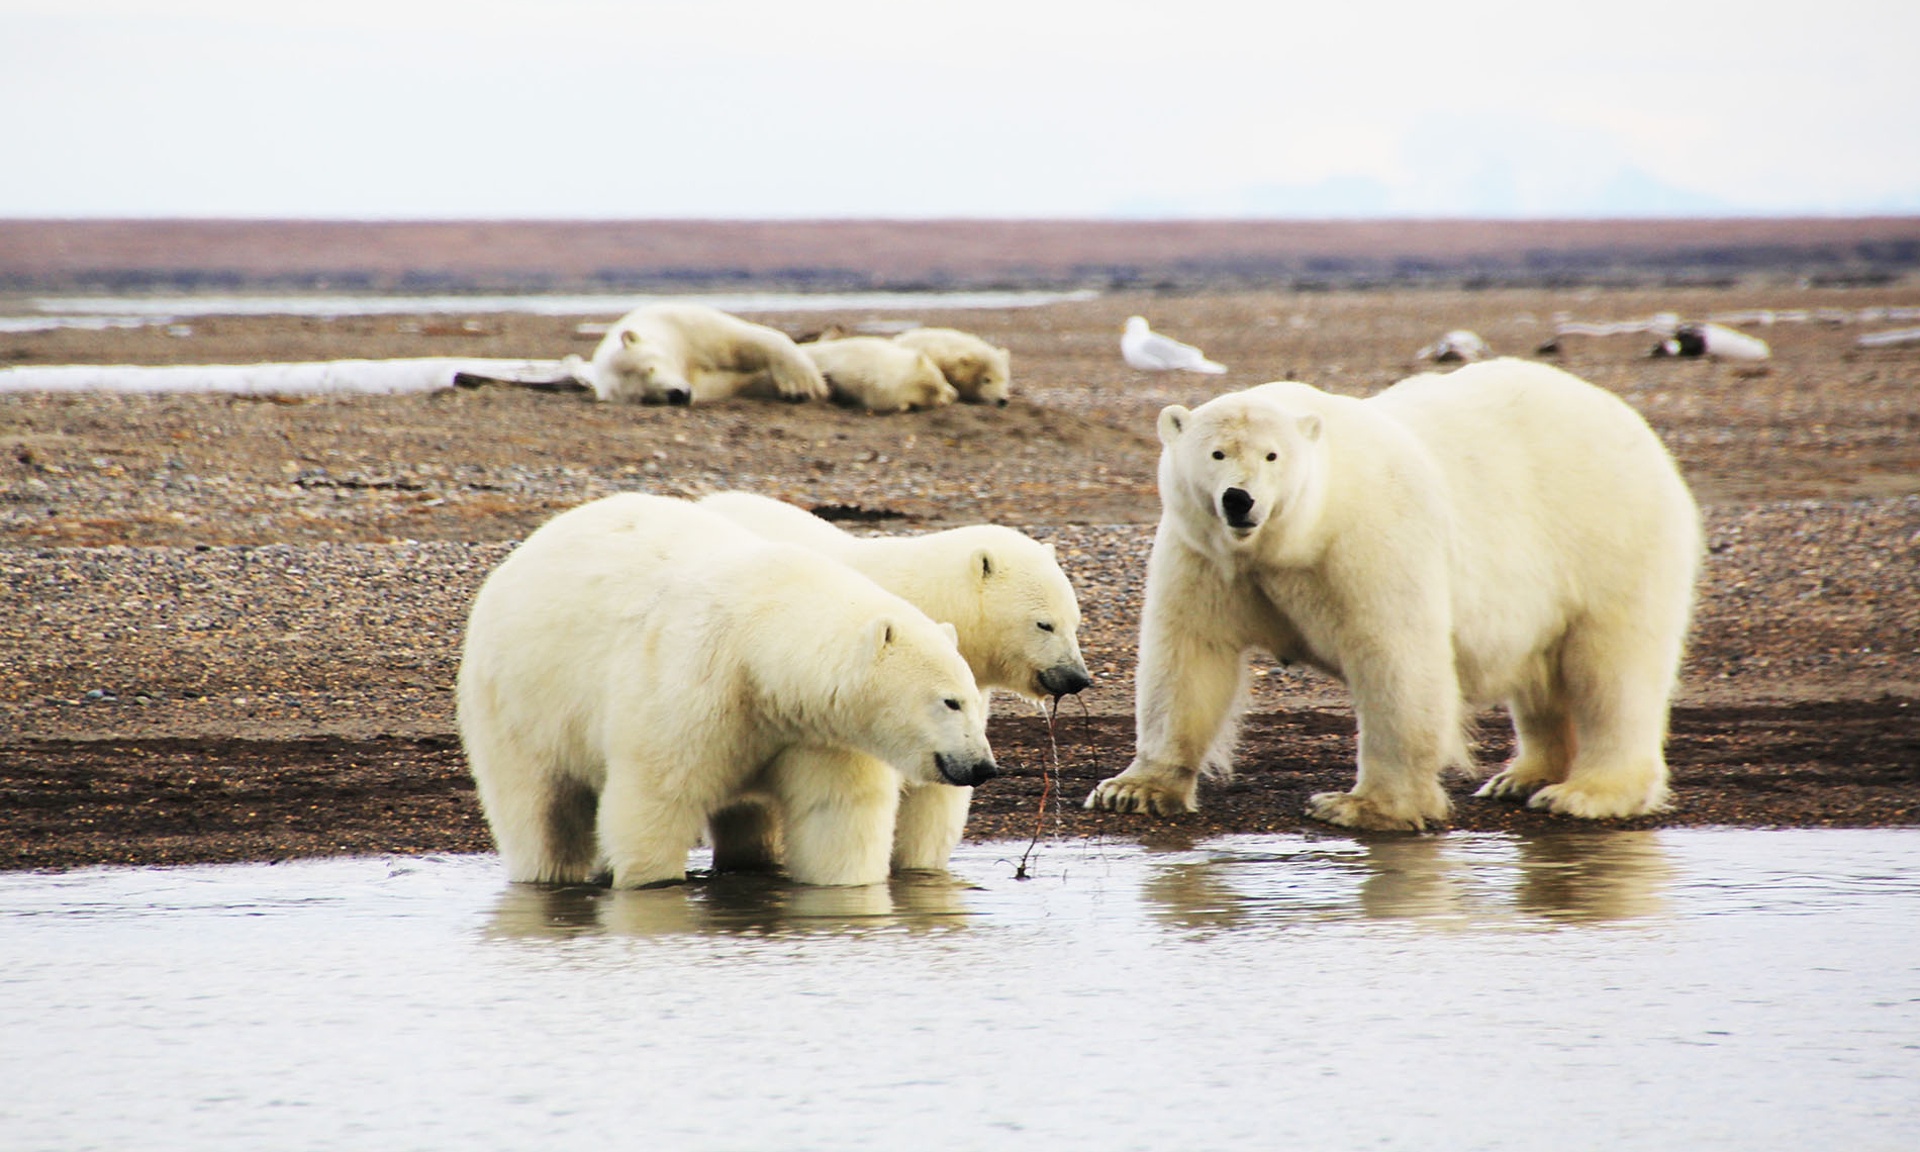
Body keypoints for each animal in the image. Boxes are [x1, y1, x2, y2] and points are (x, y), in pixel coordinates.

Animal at [456, 493, 996, 888]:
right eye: (950, 701)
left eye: (974, 699)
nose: (982, 766)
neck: (762, 646)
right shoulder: (690, 685)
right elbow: (654, 800)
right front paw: (652, 881)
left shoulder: (817, 732)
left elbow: (836, 817)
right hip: (520, 699)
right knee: (538, 809)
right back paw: (548, 870)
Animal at [573, 303, 829, 405]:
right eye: (643, 397)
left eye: (650, 368)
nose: (676, 395)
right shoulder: (706, 385)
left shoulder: (683, 325)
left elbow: (740, 342)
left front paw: (803, 385)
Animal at [1085, 358, 1701, 831]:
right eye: (1216, 453)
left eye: (1271, 456)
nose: (1239, 500)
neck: (1291, 537)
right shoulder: (1206, 555)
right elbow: (1189, 654)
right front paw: (1132, 789)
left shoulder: (1368, 538)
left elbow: (1396, 659)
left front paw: (1361, 806)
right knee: (1544, 680)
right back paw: (1520, 776)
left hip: (1610, 539)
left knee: (1611, 671)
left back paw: (1585, 793)